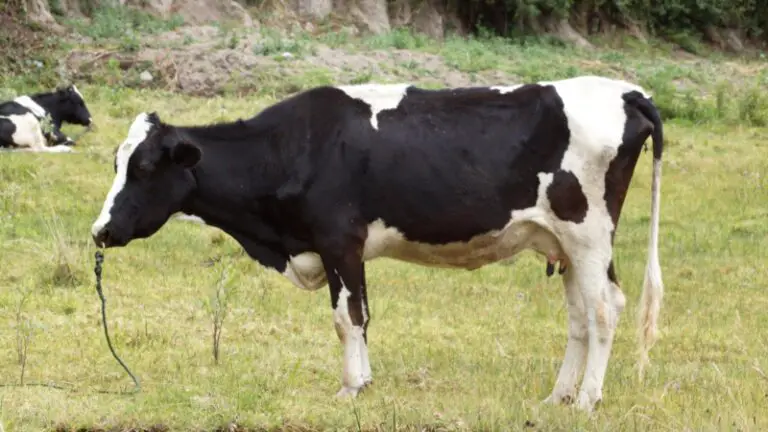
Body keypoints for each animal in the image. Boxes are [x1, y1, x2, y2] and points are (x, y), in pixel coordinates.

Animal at [90, 75, 664, 412]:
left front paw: (351, 388)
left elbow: (348, 318)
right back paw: (558, 395)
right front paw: (362, 381)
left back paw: (587, 399)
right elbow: (360, 316)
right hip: (563, 245)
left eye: (144, 167)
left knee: (606, 309)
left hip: (589, 235)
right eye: (115, 162)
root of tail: (627, 91)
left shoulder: (339, 241)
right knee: (579, 316)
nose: (100, 231)